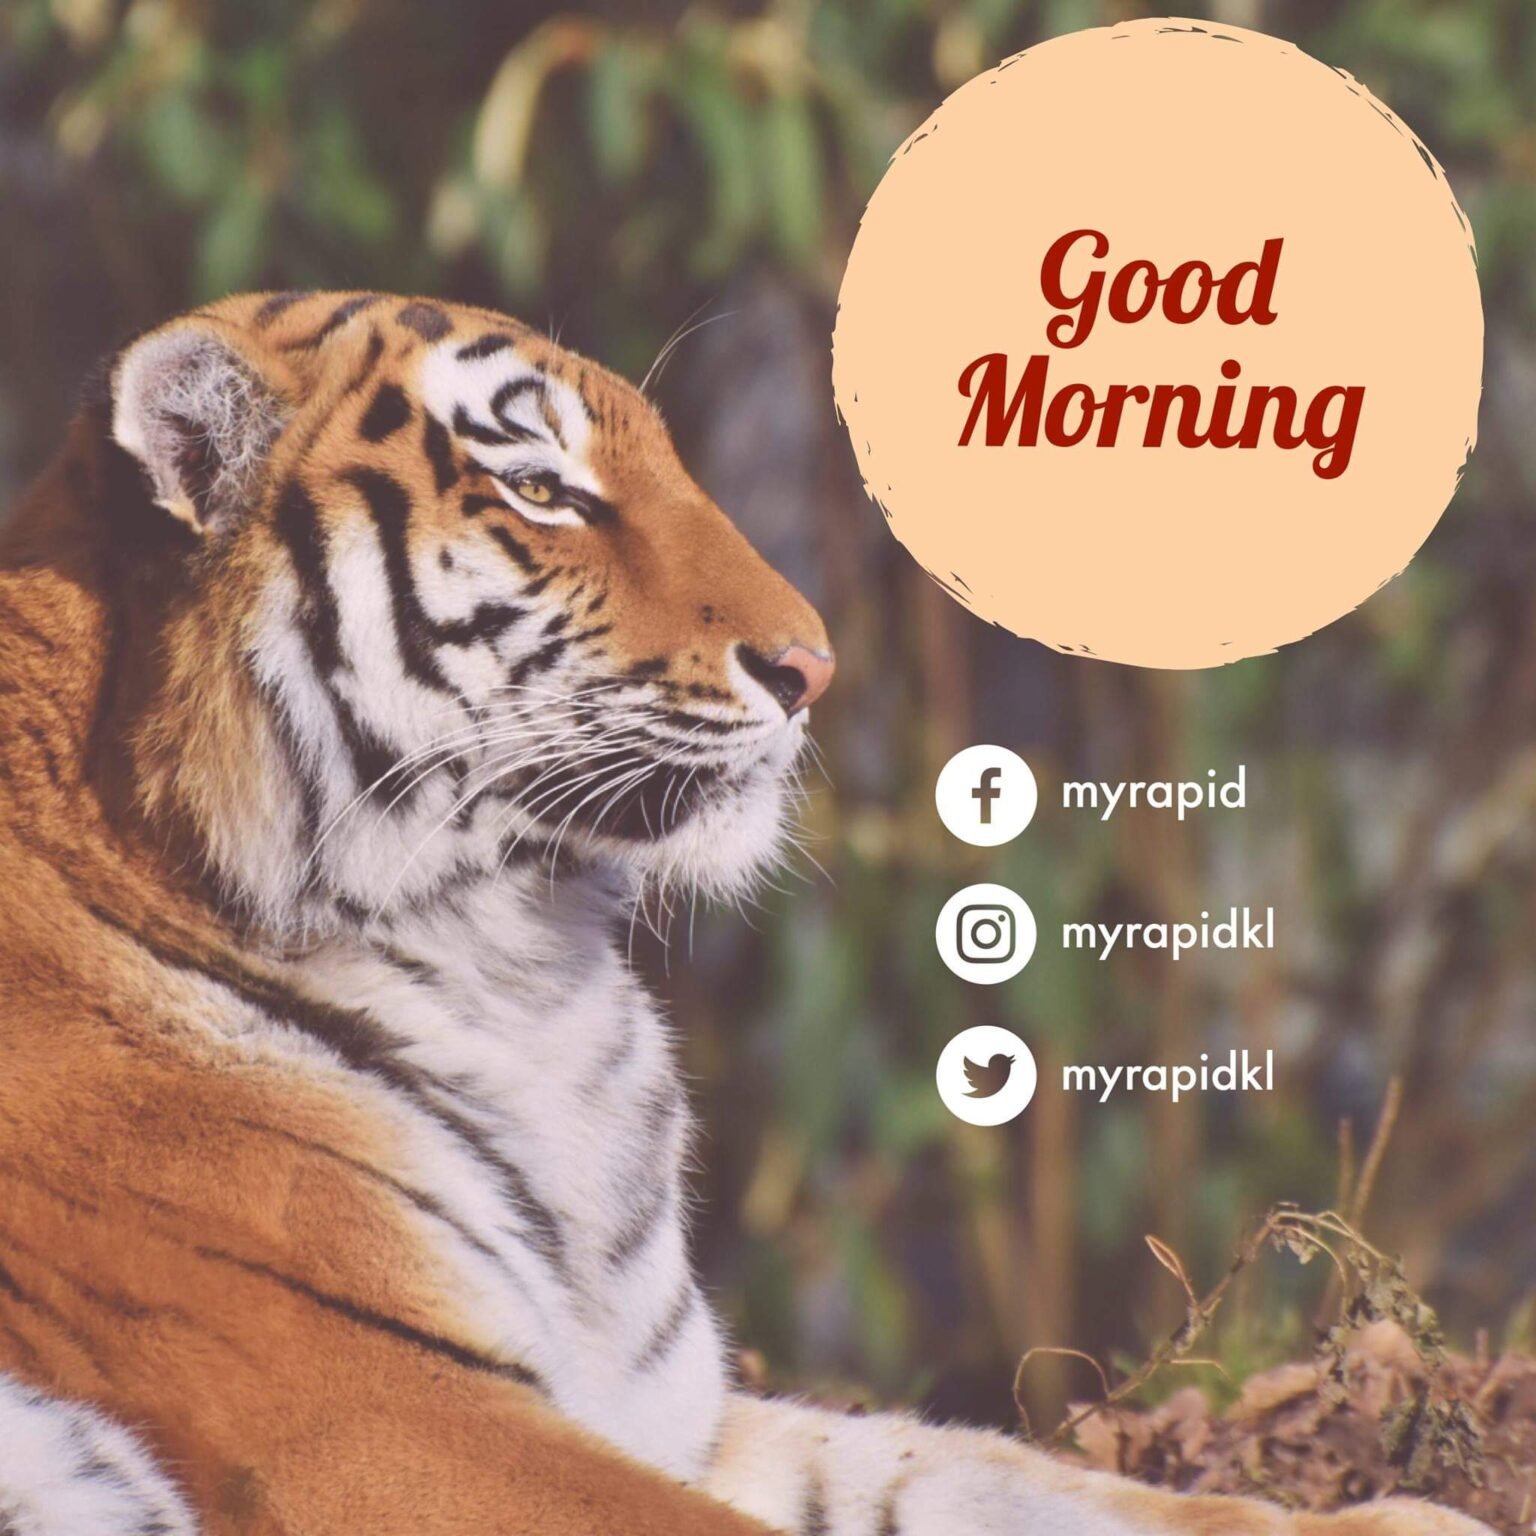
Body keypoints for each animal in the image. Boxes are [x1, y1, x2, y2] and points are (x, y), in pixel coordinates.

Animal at [0, 290, 1489, 1536]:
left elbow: (992, 1472)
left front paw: (1398, 1523)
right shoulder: (377, 1423)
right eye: (538, 489)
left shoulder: (683, 1413)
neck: (518, 962)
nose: (814, 666)